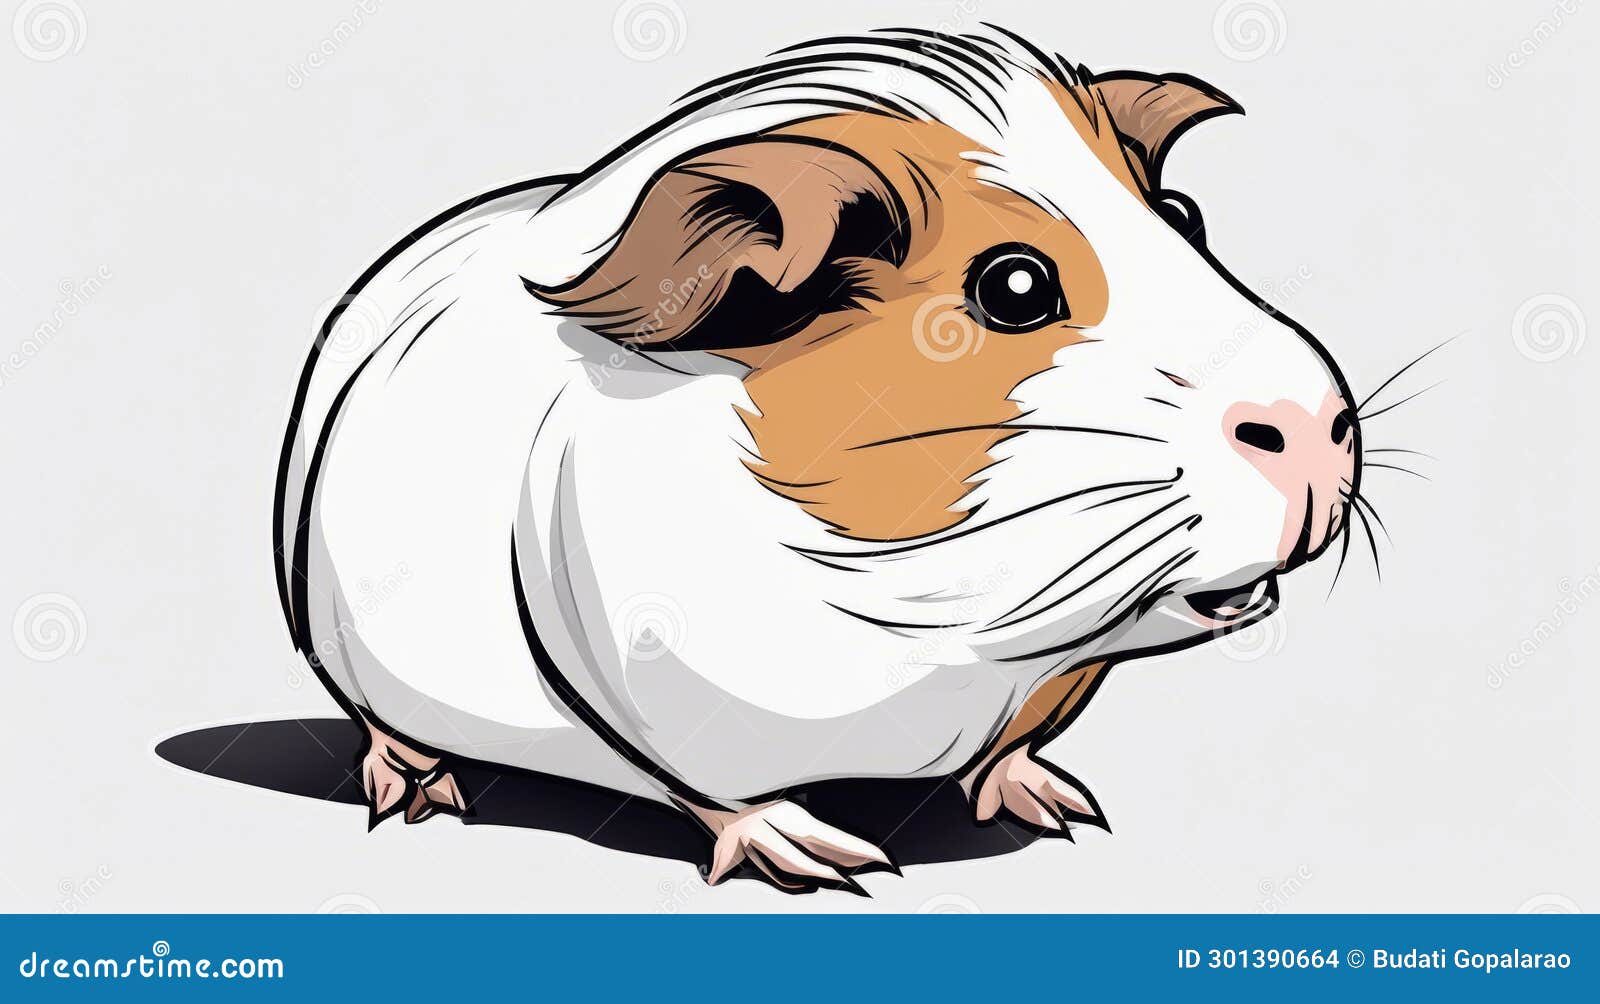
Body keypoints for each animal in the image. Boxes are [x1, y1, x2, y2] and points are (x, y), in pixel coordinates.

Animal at [274, 26, 1359, 893]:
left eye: (1182, 216)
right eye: (1013, 287)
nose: (1313, 425)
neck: (943, 632)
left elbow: (1006, 755)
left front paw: (1057, 802)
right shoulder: (668, 702)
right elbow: (730, 799)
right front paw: (837, 862)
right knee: (380, 728)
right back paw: (418, 791)